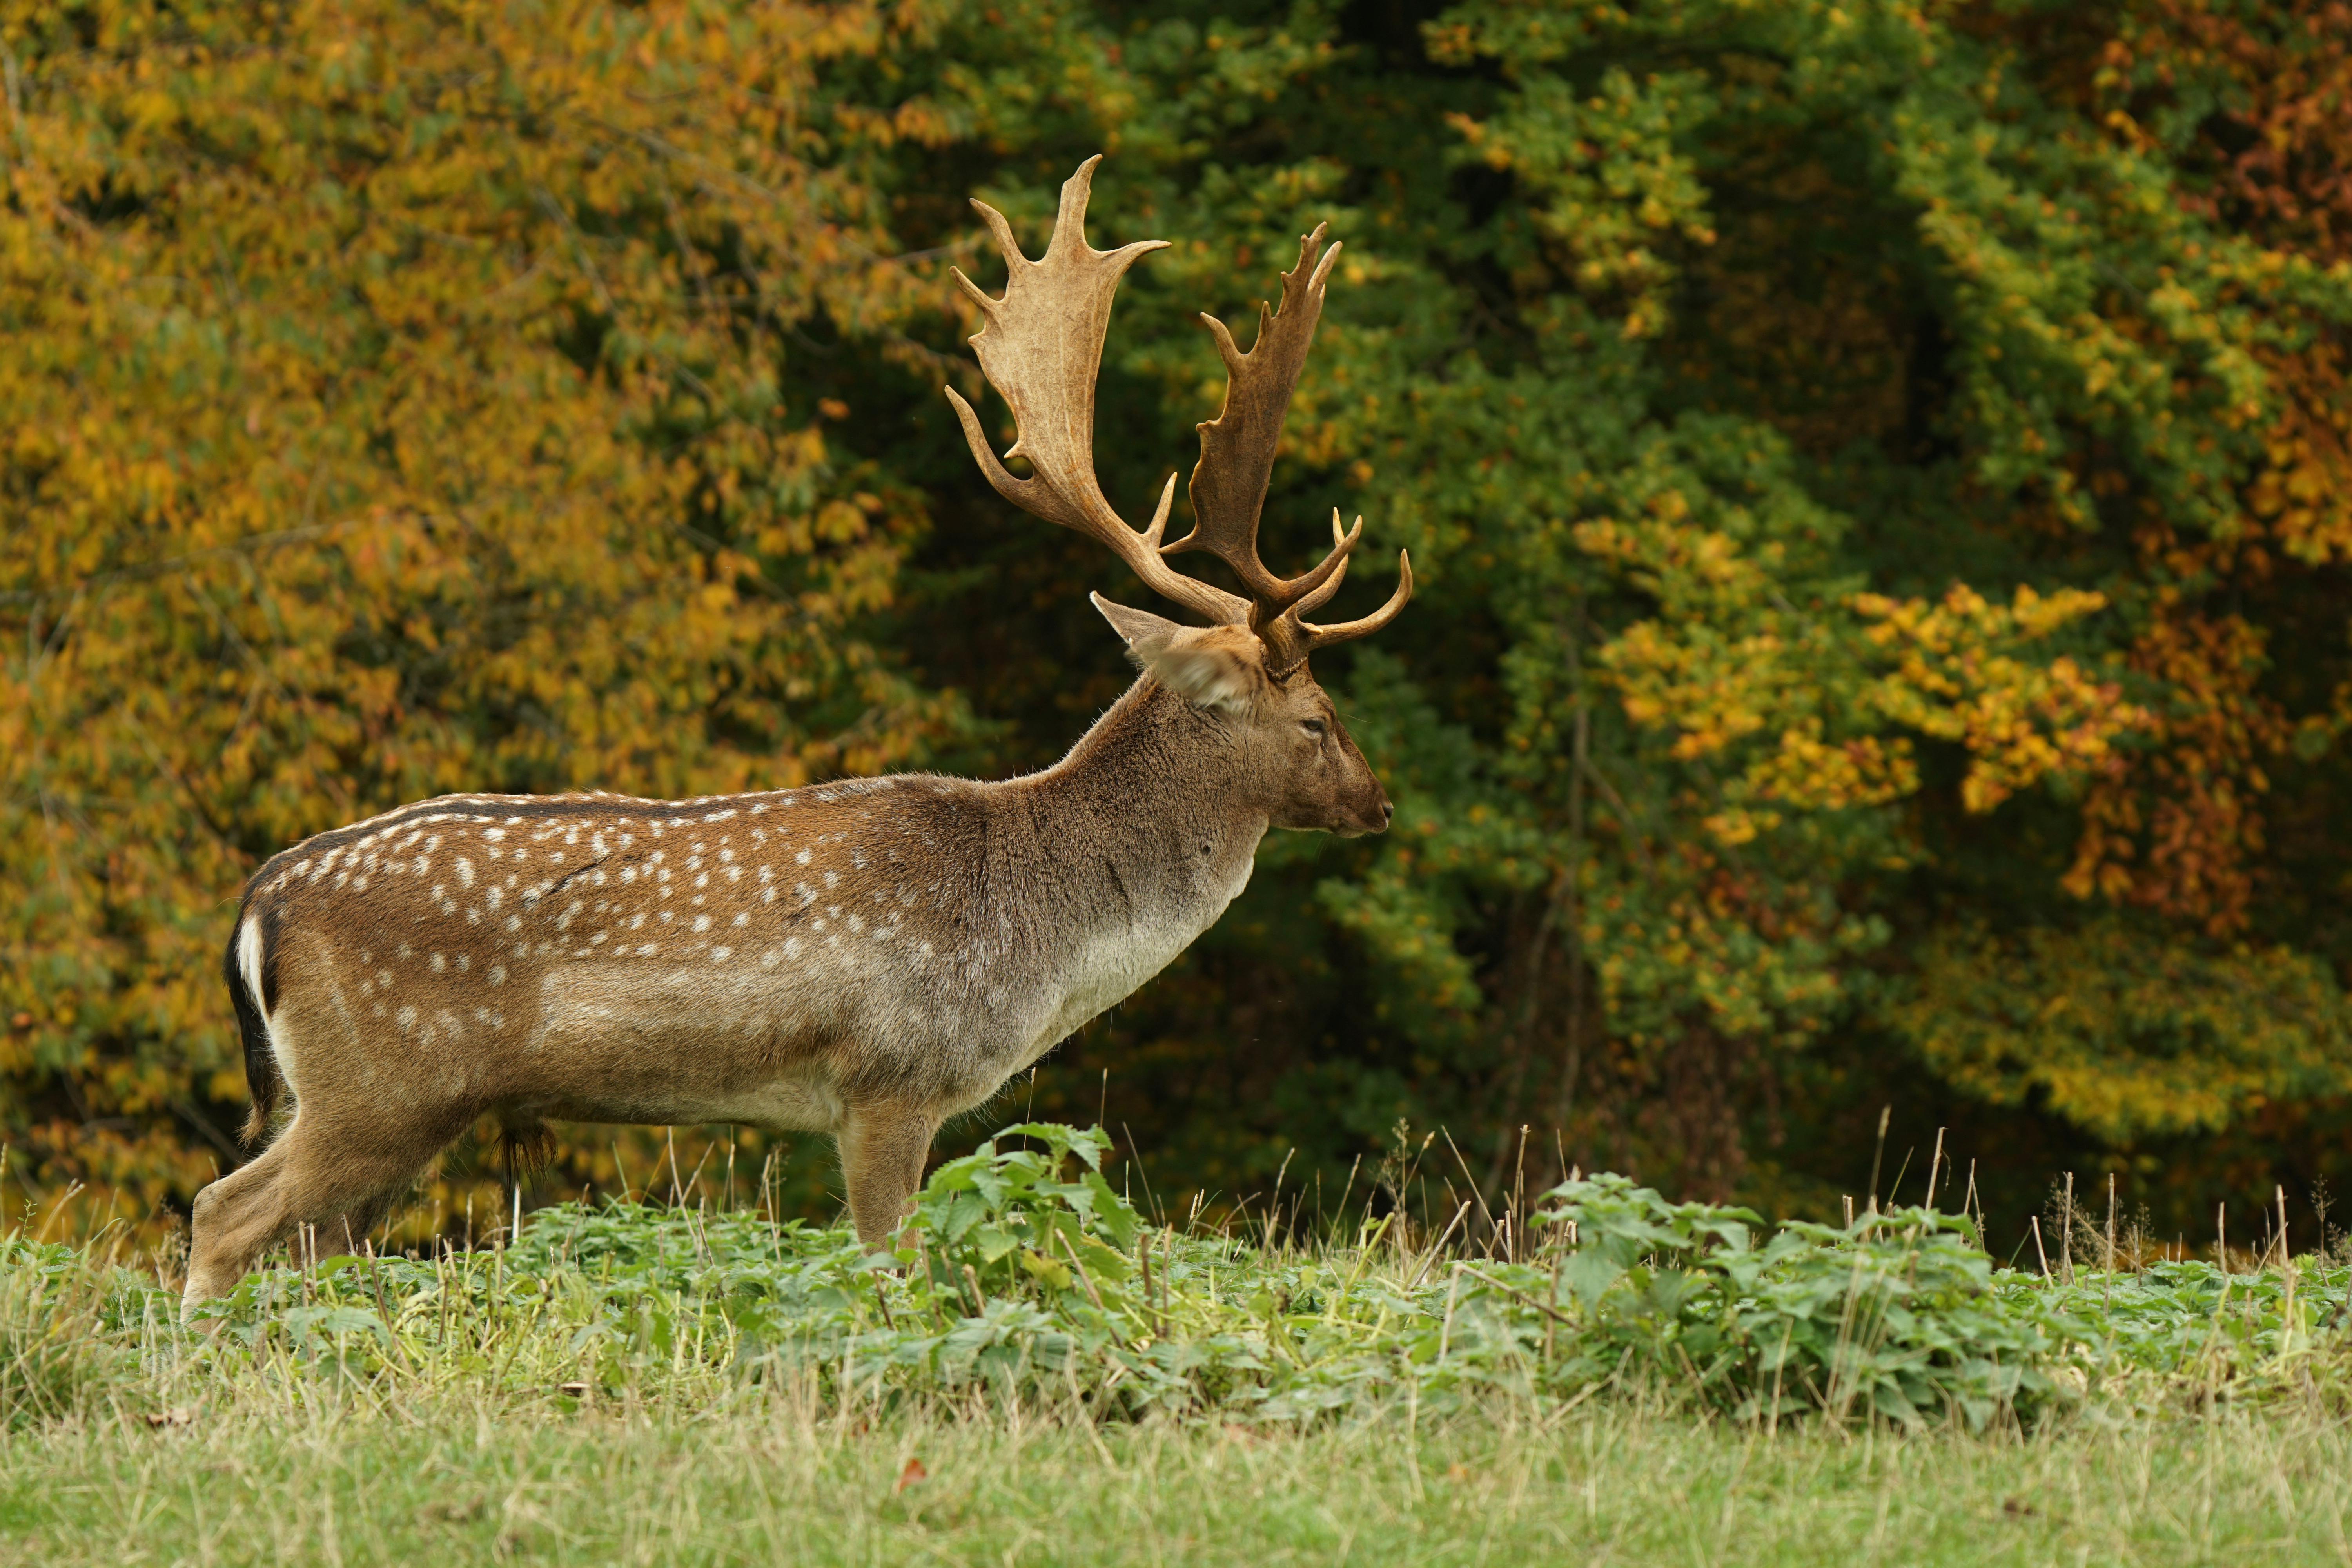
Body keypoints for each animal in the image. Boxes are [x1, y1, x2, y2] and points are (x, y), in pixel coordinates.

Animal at [181, 156, 1411, 1313]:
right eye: (1317, 717)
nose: (1379, 802)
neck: (1039, 942)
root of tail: (261, 903)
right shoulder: (891, 1077)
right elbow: (890, 1265)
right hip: (383, 1082)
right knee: (222, 1210)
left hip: (378, 1105)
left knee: (306, 1237)